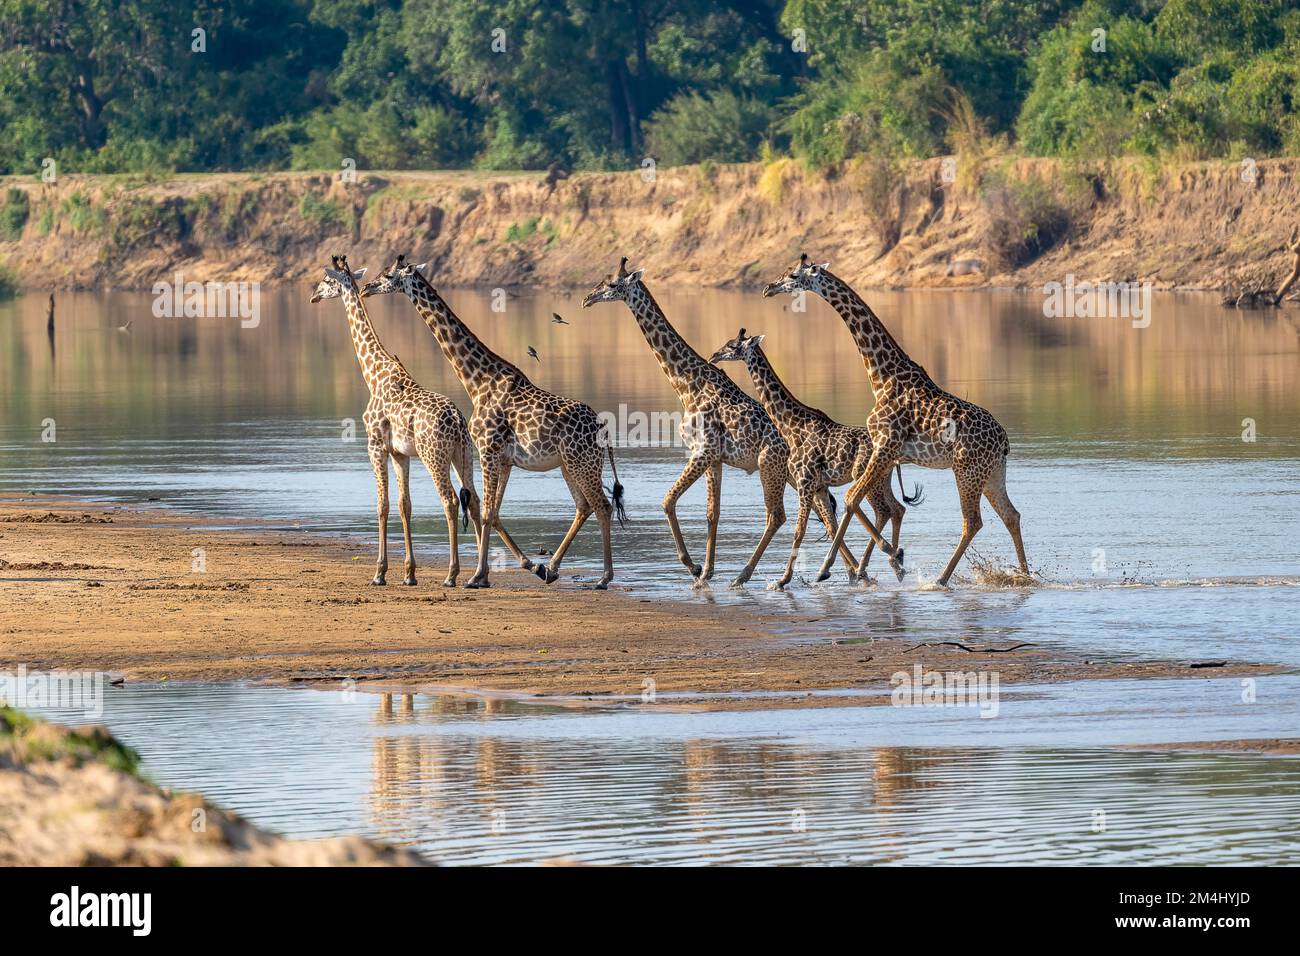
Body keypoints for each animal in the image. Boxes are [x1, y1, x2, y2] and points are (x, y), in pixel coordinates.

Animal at [311, 255, 481, 587]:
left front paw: (379, 572)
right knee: (476, 501)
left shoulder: (375, 445)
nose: (313, 296)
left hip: (434, 455)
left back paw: (452, 574)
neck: (374, 374)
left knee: (451, 501)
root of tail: (457, 420)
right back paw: (481, 574)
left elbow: (382, 505)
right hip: (463, 455)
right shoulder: (400, 453)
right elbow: (405, 505)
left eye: (326, 281)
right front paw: (409, 573)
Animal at [361, 256, 627, 590]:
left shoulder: (488, 449)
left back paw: (603, 577)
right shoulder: (503, 458)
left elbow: (486, 511)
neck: (477, 381)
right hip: (570, 464)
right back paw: (551, 568)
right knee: (584, 505)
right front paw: (492, 572)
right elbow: (493, 511)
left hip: (583, 463)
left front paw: (476, 576)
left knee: (602, 505)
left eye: (388, 275)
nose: (367, 287)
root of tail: (603, 429)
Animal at [582, 258, 788, 588]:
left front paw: (692, 567)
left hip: (769, 466)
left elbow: (667, 500)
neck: (687, 384)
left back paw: (743, 576)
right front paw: (705, 572)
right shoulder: (713, 457)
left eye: (613, 284)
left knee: (776, 515)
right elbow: (712, 513)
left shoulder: (703, 451)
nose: (587, 298)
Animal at [708, 328, 924, 590]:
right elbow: (829, 524)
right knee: (894, 509)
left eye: (732, 346)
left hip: (865, 476)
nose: (714, 355)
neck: (791, 426)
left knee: (878, 509)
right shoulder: (819, 487)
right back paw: (892, 561)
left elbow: (799, 530)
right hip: (880, 479)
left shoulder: (805, 482)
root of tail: (895, 454)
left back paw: (891, 557)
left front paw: (782, 580)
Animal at [763, 255, 1030, 587]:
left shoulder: (885, 445)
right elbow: (864, 502)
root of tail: (1004, 439)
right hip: (993, 473)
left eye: (793, 275)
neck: (881, 376)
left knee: (973, 521)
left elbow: (851, 498)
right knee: (1011, 515)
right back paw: (1025, 575)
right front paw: (879, 562)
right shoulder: (887, 452)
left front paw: (829, 568)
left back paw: (941, 579)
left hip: (967, 471)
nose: (769, 287)